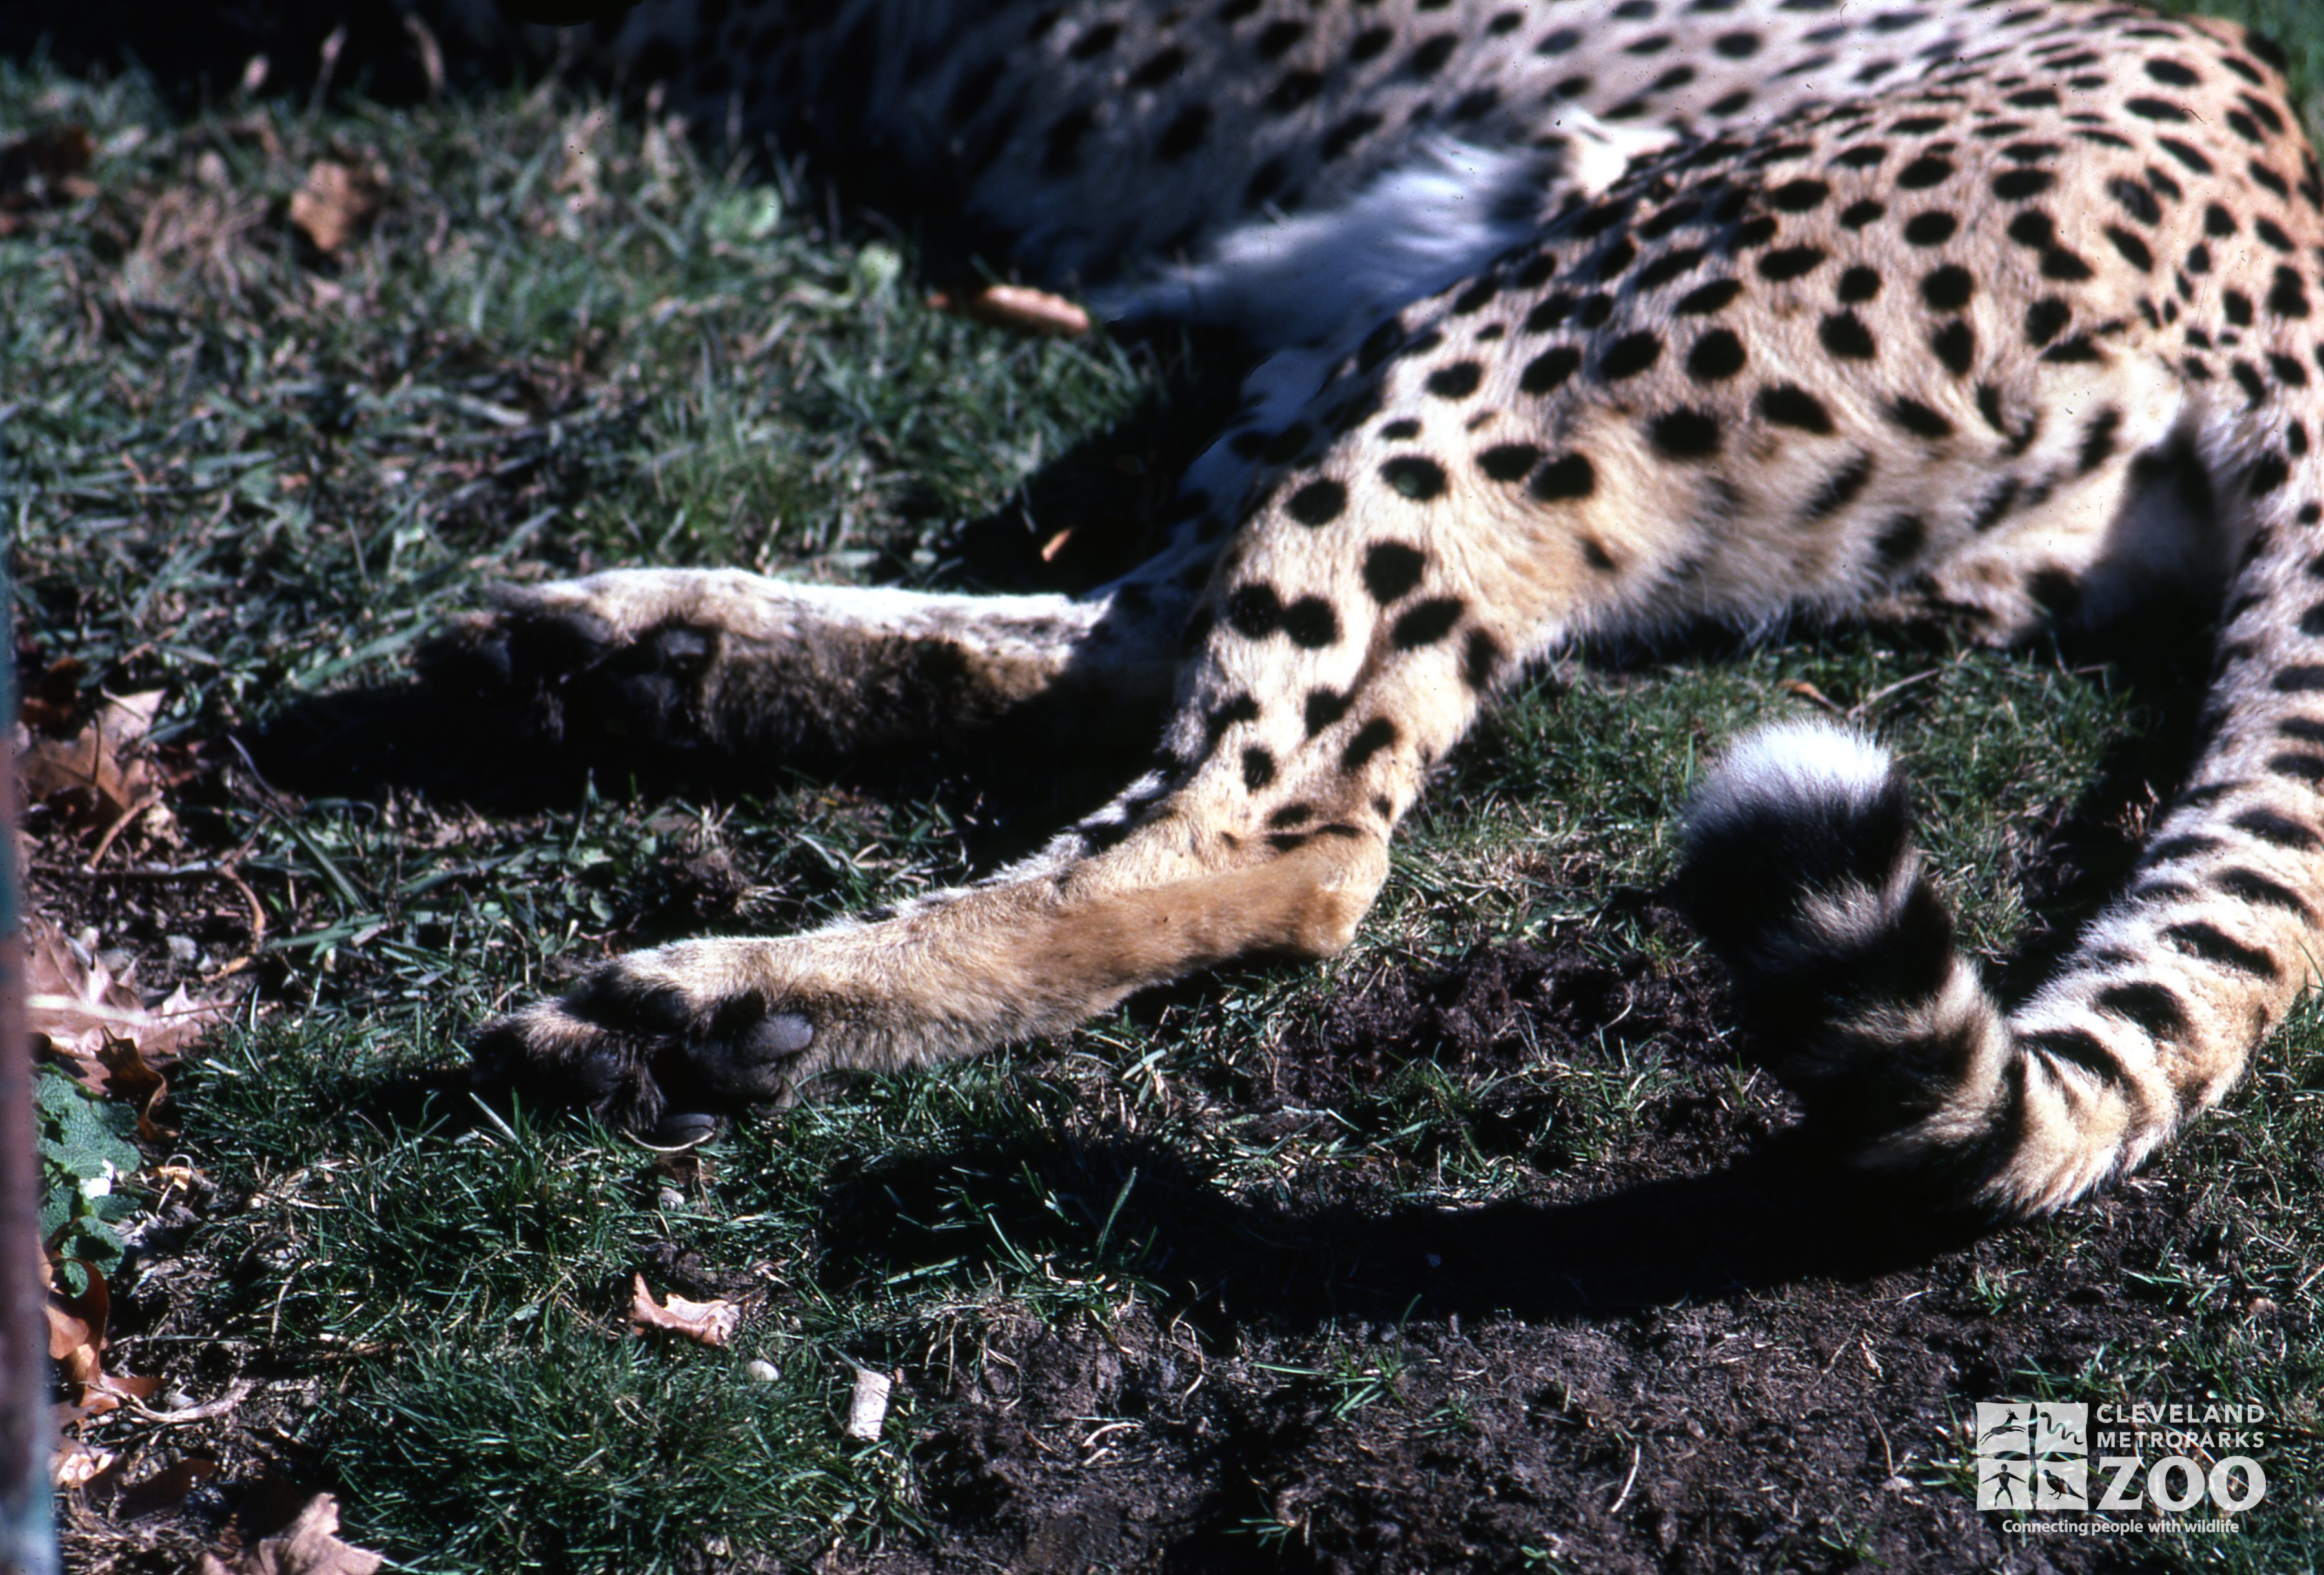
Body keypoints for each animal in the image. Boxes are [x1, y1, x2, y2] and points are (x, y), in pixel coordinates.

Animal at [425, 0, 2324, 1220]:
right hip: (1393, 342)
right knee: (1138, 645)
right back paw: (649, 661)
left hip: (1536, 325)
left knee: (1281, 823)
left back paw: (707, 1009)